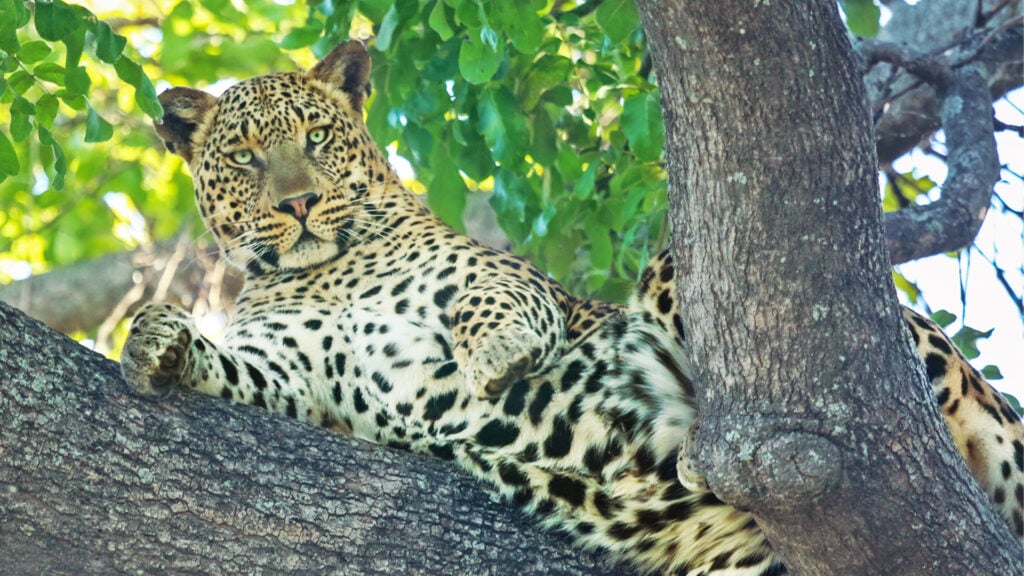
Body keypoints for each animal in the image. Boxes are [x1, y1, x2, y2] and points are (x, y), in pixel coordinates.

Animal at [120, 41, 1024, 575]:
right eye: (245, 157)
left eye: (315, 137)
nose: (300, 204)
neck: (328, 271)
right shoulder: (297, 375)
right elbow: (236, 368)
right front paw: (158, 344)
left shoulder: (513, 282)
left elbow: (491, 301)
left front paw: (493, 361)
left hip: (688, 269)